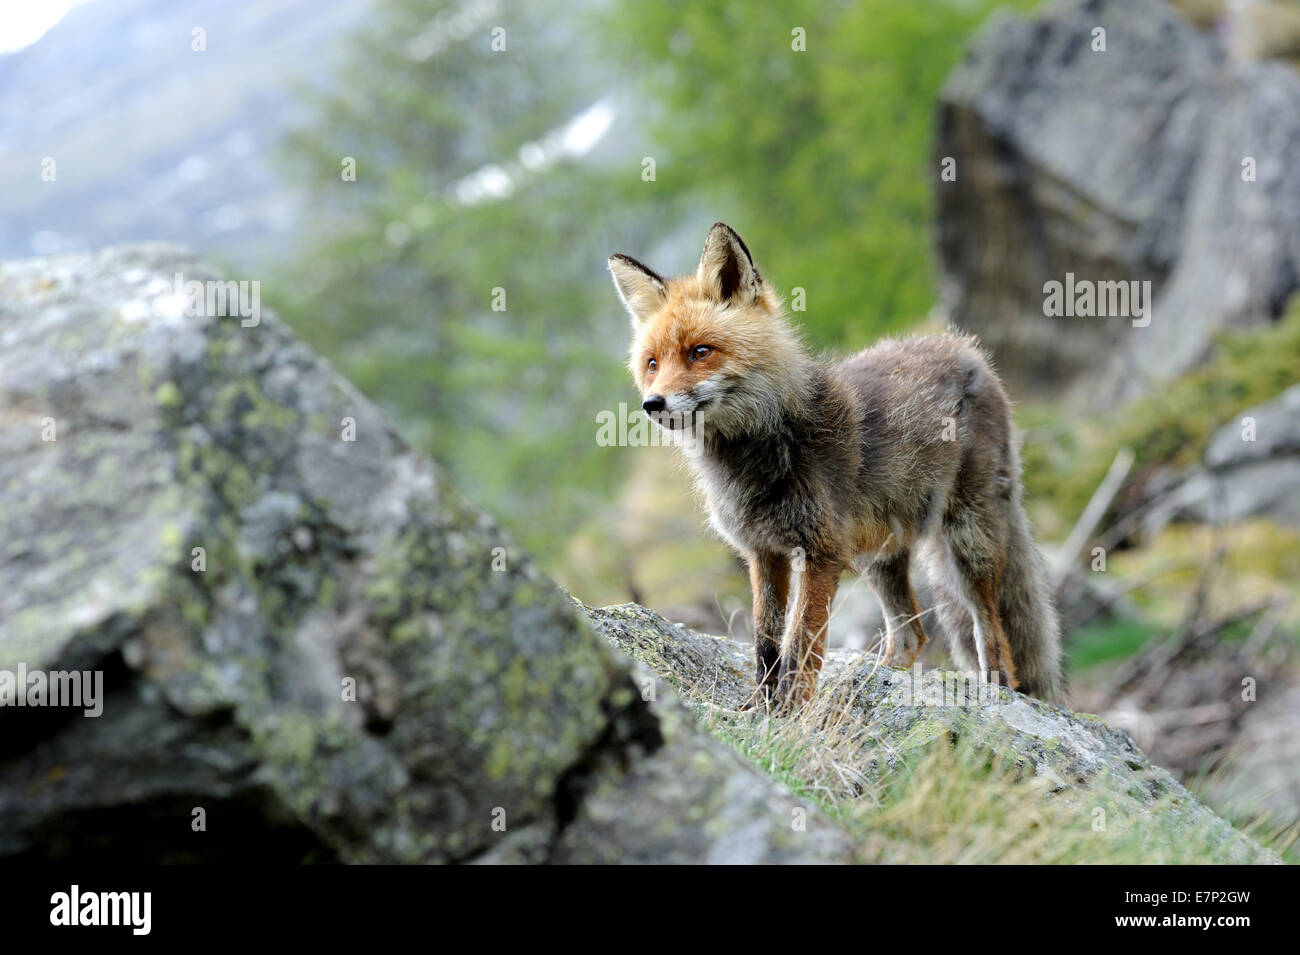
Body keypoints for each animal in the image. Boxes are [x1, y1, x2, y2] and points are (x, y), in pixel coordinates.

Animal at [607, 222, 1063, 711]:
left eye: (700, 352)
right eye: (652, 364)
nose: (652, 404)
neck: (763, 449)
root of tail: (967, 349)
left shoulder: (821, 552)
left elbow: (800, 643)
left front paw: (789, 711)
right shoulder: (763, 553)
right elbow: (766, 642)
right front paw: (759, 707)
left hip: (968, 541)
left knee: (990, 632)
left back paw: (996, 691)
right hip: (876, 555)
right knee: (912, 635)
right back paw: (879, 681)